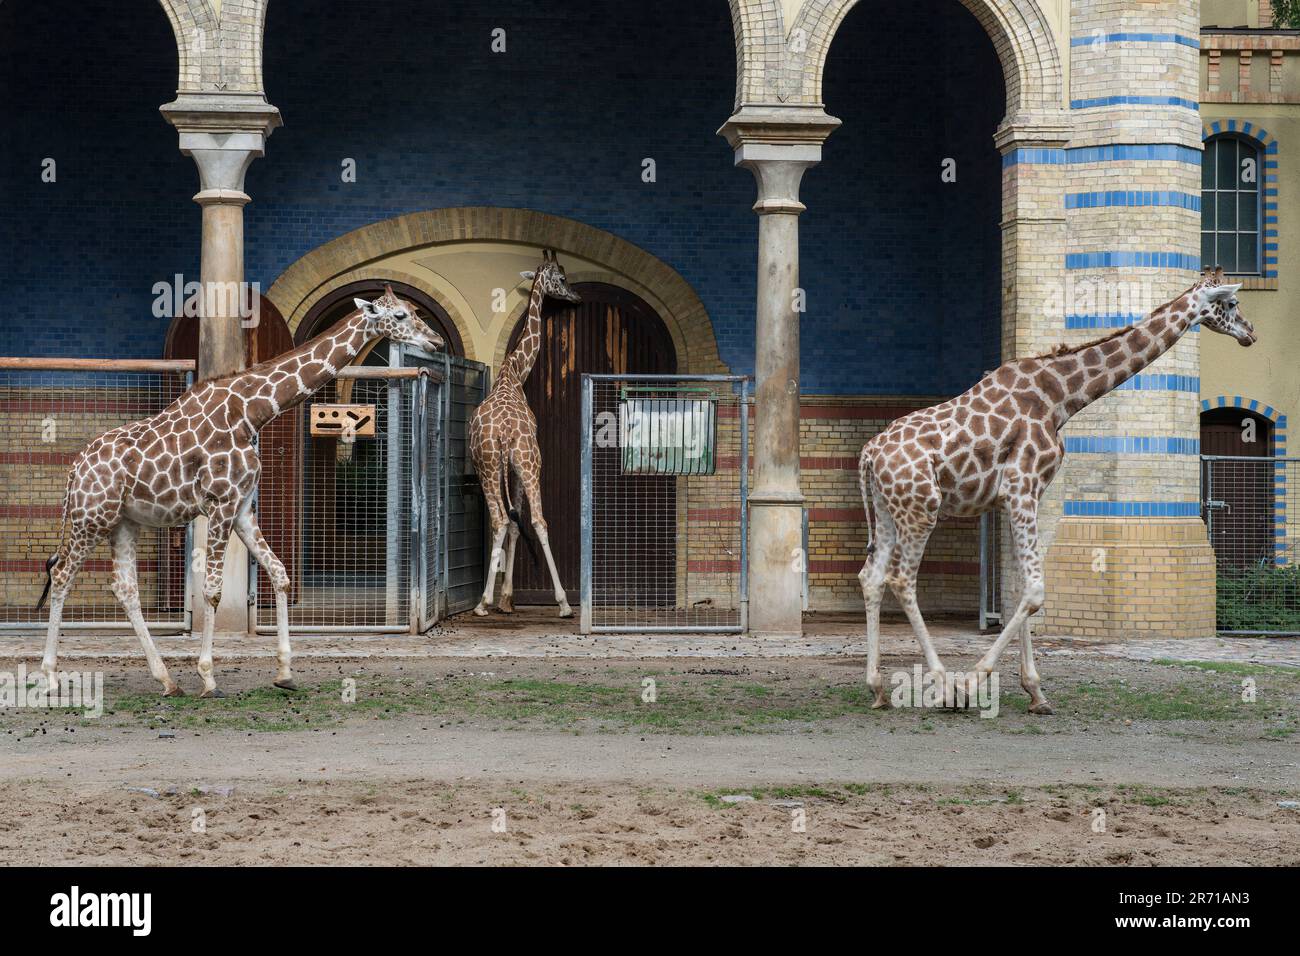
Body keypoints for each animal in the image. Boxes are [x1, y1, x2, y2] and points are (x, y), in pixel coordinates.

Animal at [37, 285, 444, 697]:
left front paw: (284, 672)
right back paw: (50, 675)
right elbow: (213, 590)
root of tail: (75, 469)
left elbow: (279, 573)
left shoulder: (243, 506)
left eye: (413, 310)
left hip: (123, 522)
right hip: (92, 517)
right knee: (63, 574)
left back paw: (166, 680)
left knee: (124, 588)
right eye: (400, 316)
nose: (436, 341)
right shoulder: (221, 502)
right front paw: (208, 678)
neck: (251, 413)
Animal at [469, 249, 581, 617]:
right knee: (528, 520)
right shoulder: (519, 469)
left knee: (504, 520)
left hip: (490, 467)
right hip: (527, 464)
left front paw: (507, 598)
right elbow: (520, 525)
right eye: (561, 277)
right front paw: (506, 597)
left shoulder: (507, 469)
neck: (515, 371)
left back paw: (486, 601)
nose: (576, 296)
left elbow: (515, 525)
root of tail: (503, 433)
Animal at [857, 268, 1255, 714]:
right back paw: (945, 686)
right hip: (921, 508)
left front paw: (1035, 691)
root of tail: (869, 454)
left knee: (872, 576)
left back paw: (877, 687)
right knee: (901, 579)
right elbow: (1034, 591)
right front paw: (975, 681)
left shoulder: (1018, 496)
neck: (1062, 397)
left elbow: (1019, 589)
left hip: (888, 510)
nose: (1250, 333)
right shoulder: (1022, 487)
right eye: (1232, 303)